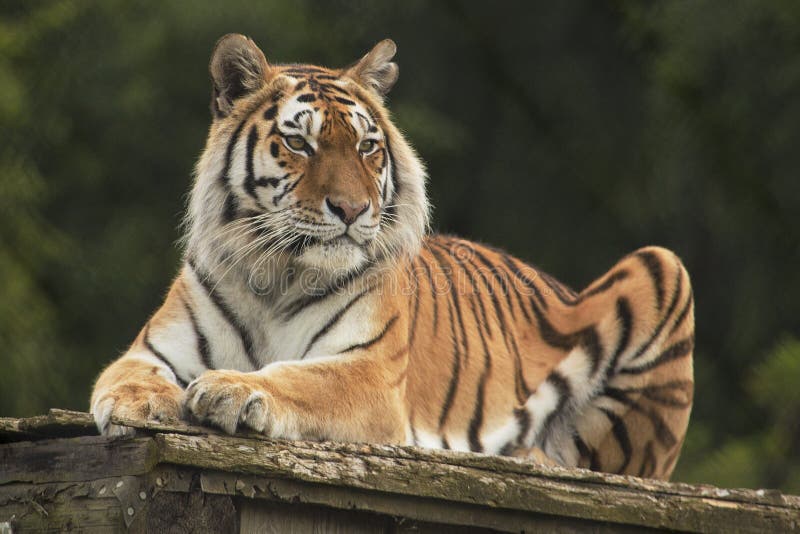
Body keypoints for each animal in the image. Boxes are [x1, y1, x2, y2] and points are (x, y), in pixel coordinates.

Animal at [91, 34, 694, 480]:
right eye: (300, 144)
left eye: (367, 147)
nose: (352, 209)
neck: (278, 275)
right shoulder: (152, 348)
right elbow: (125, 374)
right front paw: (138, 403)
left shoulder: (370, 373)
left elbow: (298, 378)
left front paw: (231, 389)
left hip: (664, 267)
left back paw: (527, 455)